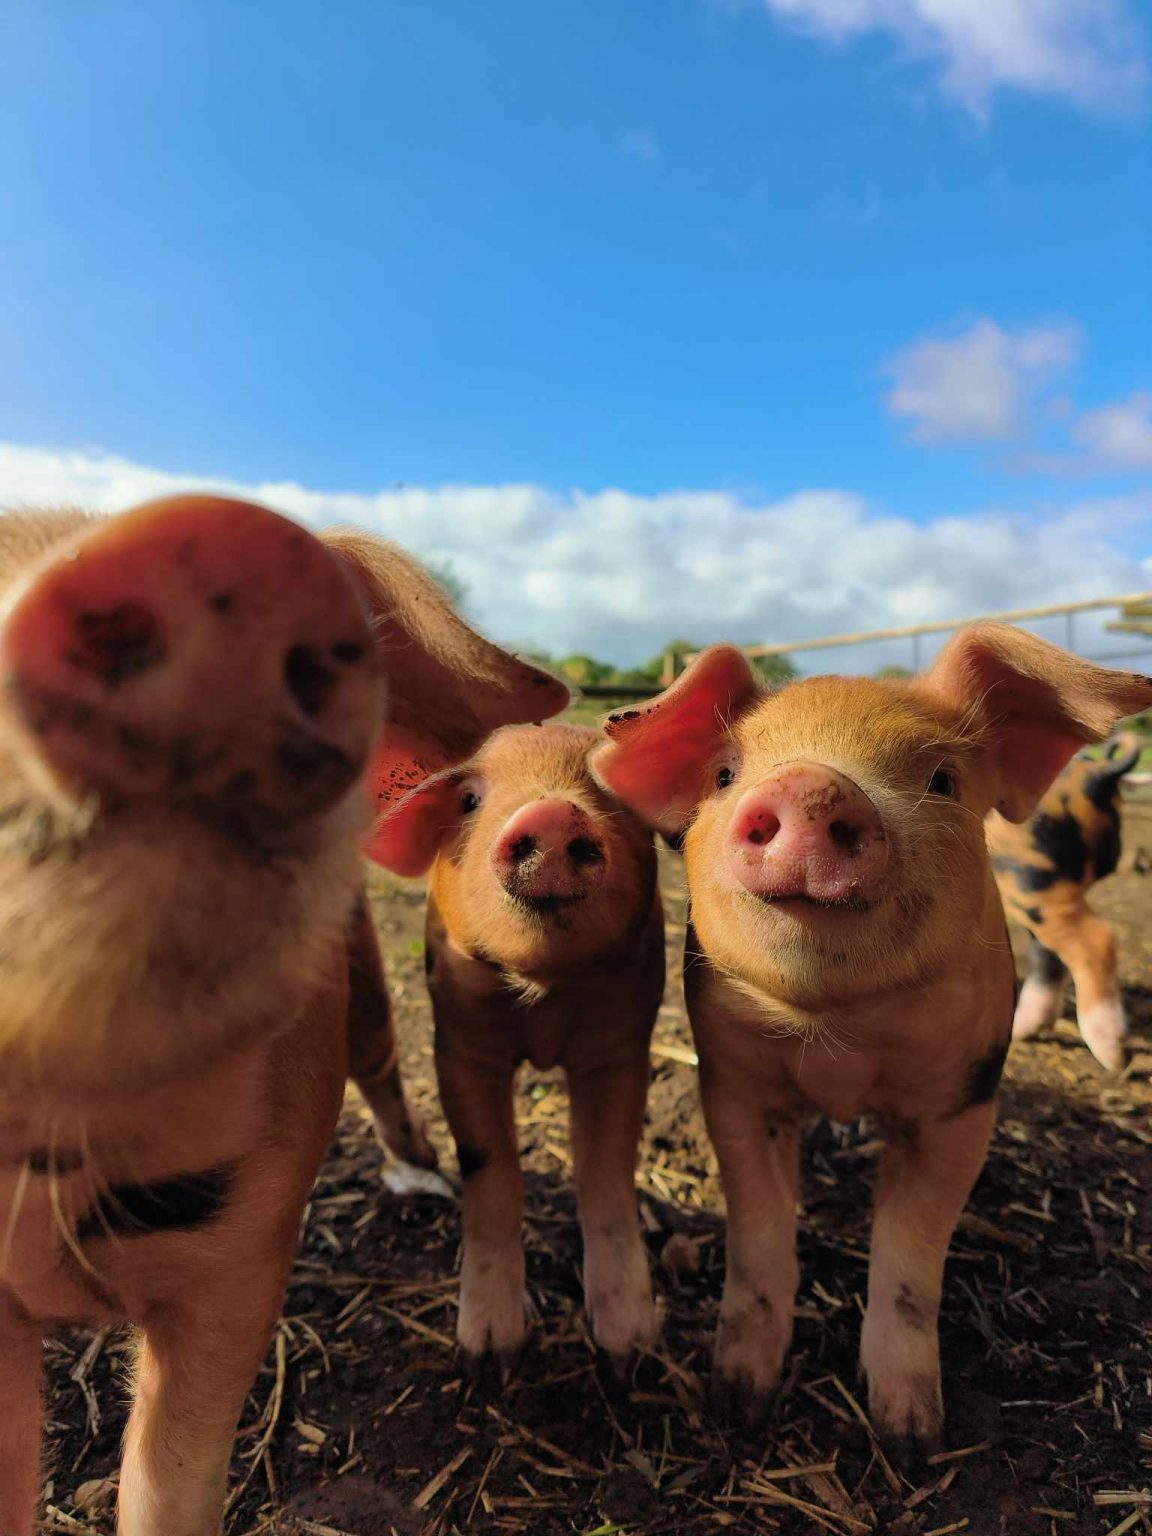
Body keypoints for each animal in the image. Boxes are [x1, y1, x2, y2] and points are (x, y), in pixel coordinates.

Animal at [0, 495, 568, 1536]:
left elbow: (168, 1484)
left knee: (384, 1070)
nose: (215, 537)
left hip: (370, 987)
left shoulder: (244, 1253)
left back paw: (420, 1180)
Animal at [370, 722, 664, 1367]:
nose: (552, 813)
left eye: (612, 792)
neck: (544, 998)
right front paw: (489, 1349)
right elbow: (491, 1168)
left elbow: (605, 1169)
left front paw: (627, 1344)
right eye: (468, 800)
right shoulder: (459, 1044)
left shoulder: (622, 1041)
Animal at [988, 733, 1145, 1071]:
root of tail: (1097, 773)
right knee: (1049, 952)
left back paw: (1116, 1057)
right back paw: (1022, 1031)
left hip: (1029, 874)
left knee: (1096, 939)